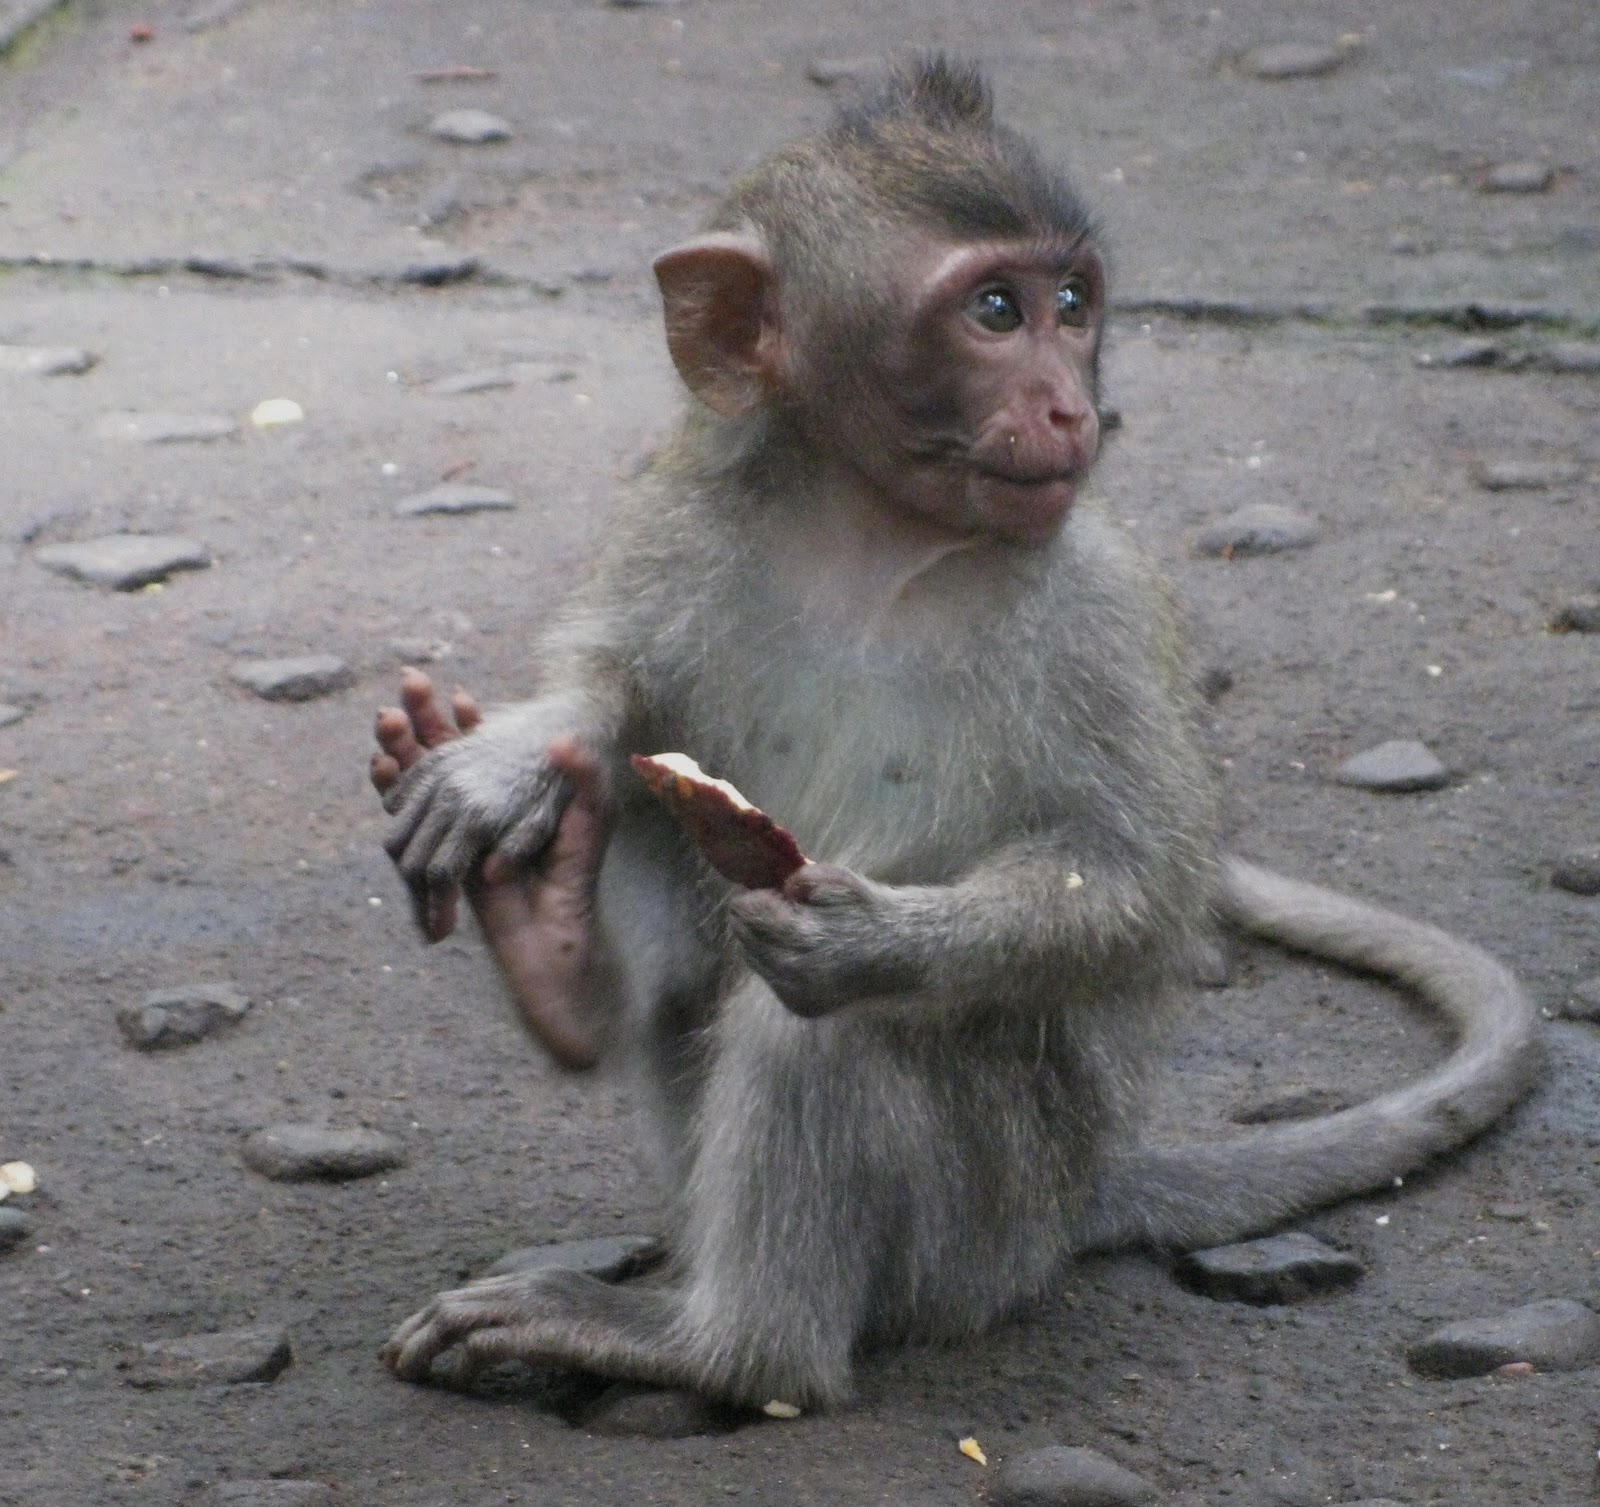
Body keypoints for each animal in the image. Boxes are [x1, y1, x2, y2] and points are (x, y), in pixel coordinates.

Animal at [371, 58, 1540, 1412]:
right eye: (994, 309)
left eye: (1071, 304)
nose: (1072, 405)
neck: (873, 539)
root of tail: (1077, 1201)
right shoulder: (684, 510)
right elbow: (619, 699)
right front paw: (506, 761)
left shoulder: (1091, 608)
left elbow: (1136, 883)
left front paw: (875, 936)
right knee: (667, 874)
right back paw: (553, 961)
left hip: (986, 1217)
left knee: (825, 1029)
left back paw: (721, 1343)